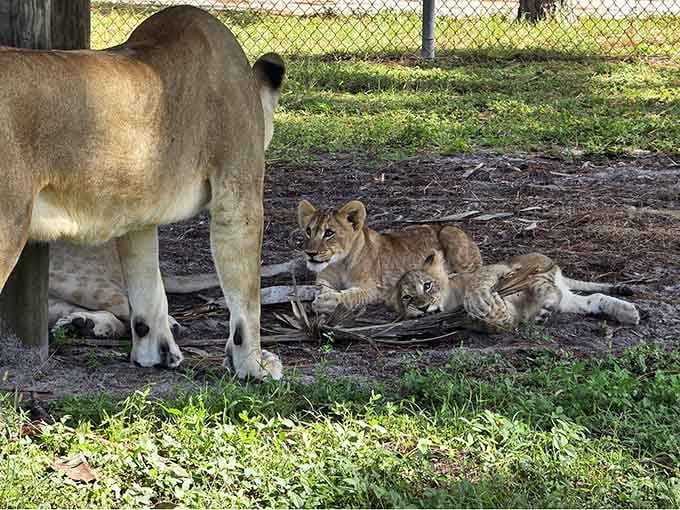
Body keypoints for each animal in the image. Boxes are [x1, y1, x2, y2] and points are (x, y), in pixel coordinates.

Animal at [0, 6, 285, 379]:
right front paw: (254, 365)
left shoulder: (137, 210)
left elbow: (147, 285)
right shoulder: (238, 194)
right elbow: (246, 298)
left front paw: (155, 353)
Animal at [297, 199, 482, 313]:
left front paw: (327, 300)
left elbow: (351, 296)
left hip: (449, 232)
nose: (310, 253)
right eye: (308, 231)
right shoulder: (323, 278)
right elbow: (321, 286)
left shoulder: (374, 289)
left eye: (329, 233)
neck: (339, 264)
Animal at [390, 250, 640, 331]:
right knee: (592, 299)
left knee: (548, 288)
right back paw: (628, 313)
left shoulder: (497, 269)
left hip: (532, 271)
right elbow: (501, 320)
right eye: (408, 298)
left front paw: (480, 301)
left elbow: (479, 281)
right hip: (565, 299)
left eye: (427, 285)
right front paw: (498, 312)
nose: (423, 307)